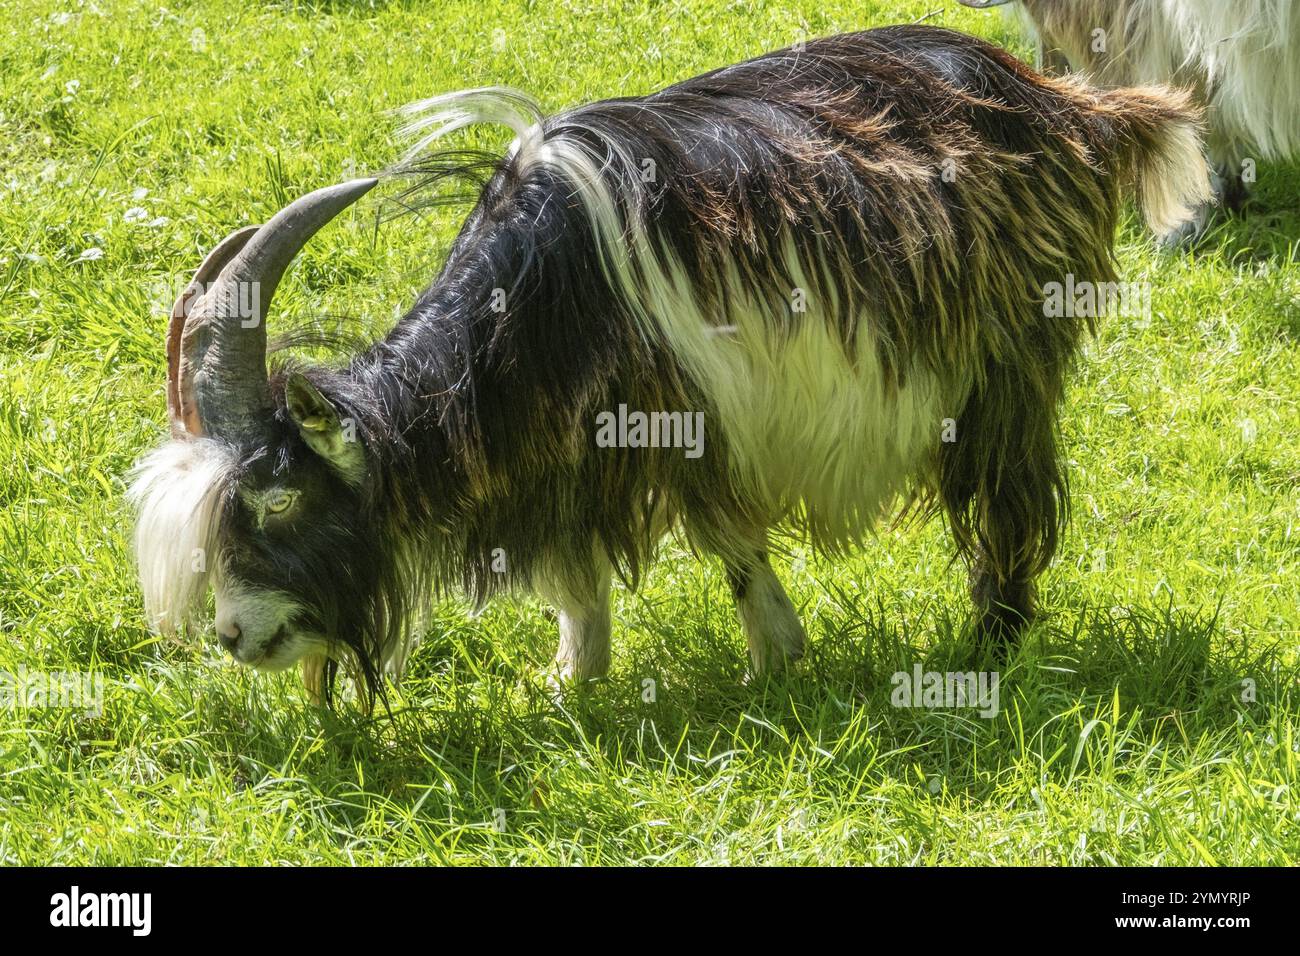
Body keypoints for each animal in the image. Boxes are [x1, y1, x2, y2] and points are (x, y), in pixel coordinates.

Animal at [128, 26, 1210, 704]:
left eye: (278, 500)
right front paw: (571, 678)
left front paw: (776, 662)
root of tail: (1074, 109)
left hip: (1005, 363)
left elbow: (730, 540)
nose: (235, 635)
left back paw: (993, 642)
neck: (539, 297)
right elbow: (572, 572)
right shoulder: (563, 446)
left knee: (1010, 497)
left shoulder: (681, 414)